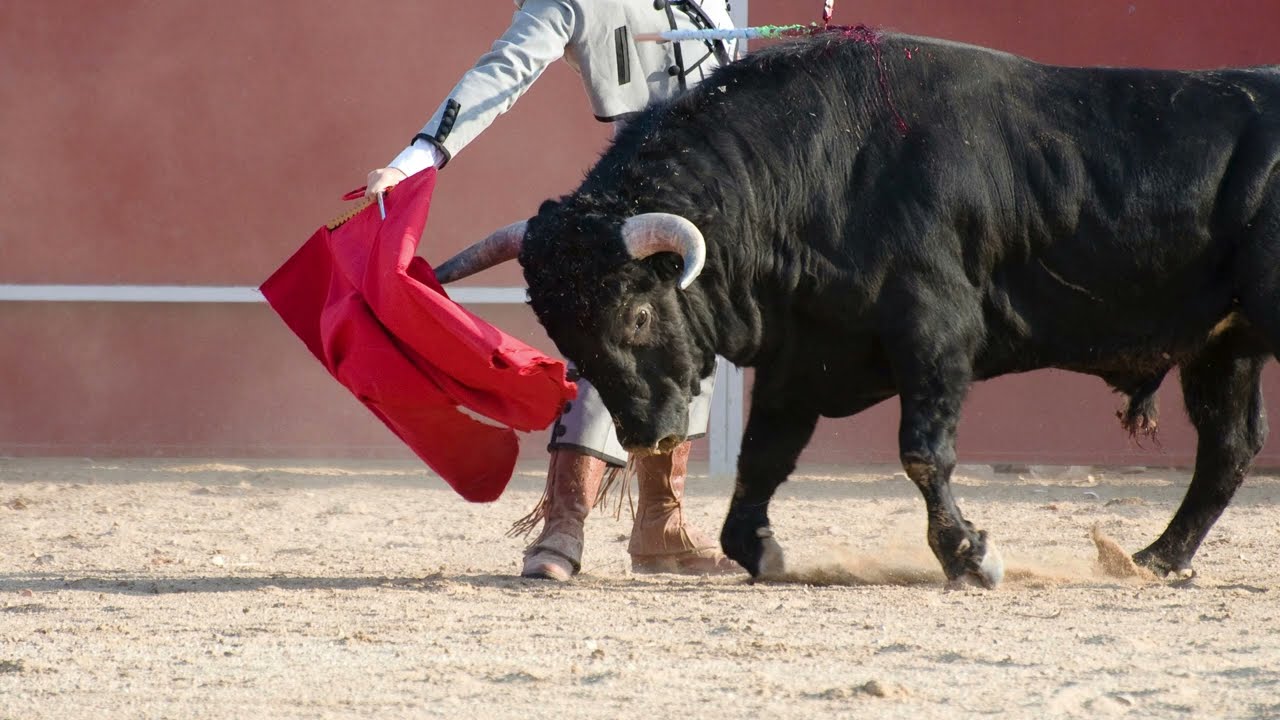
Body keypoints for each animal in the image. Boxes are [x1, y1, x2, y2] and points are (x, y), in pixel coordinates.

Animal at [435, 28, 1280, 588]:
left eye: (638, 316)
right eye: (561, 333)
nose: (649, 435)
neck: (823, 170)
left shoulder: (935, 334)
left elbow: (923, 451)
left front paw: (971, 556)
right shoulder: (801, 354)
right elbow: (762, 457)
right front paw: (762, 551)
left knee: (1226, 451)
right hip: (1224, 346)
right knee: (1227, 450)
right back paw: (1154, 561)